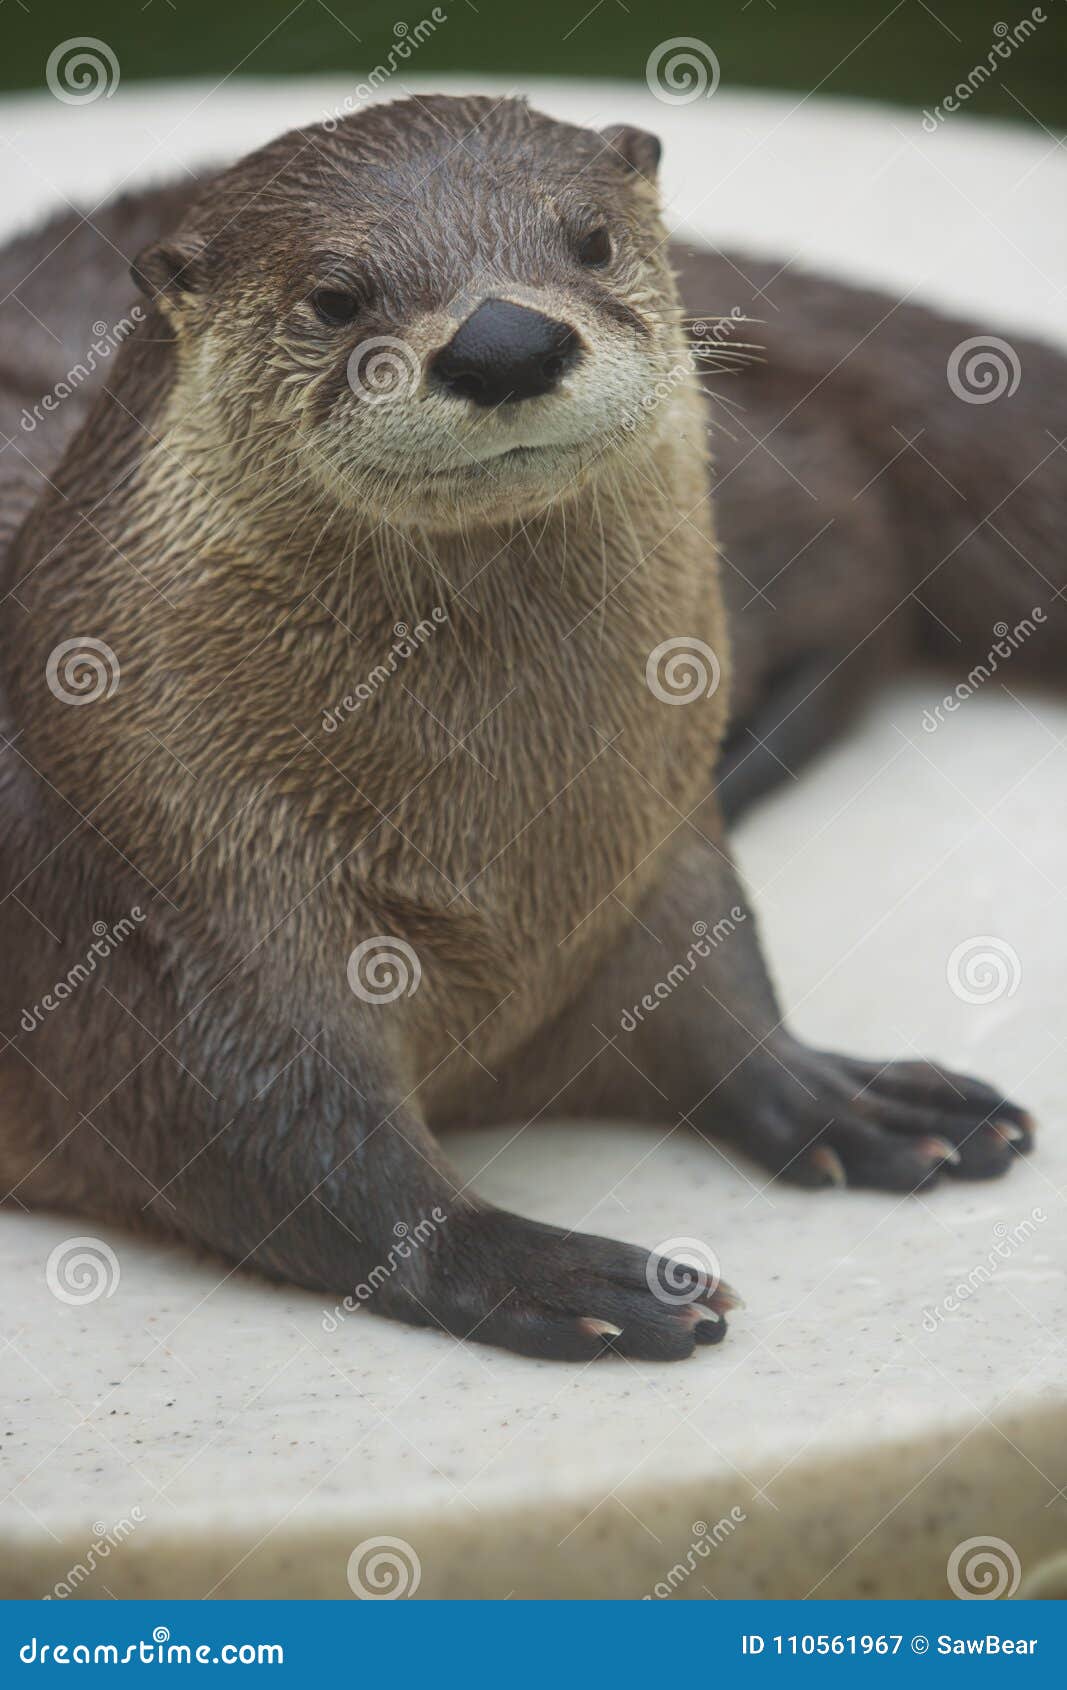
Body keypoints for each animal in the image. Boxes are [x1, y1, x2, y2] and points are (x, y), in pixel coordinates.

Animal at [1, 95, 1060, 1361]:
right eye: (334, 297)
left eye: (589, 241)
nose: (503, 342)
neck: (507, 870)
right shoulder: (164, 916)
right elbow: (280, 1145)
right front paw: (553, 1271)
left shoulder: (656, 864)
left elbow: (720, 999)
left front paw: (841, 1096)